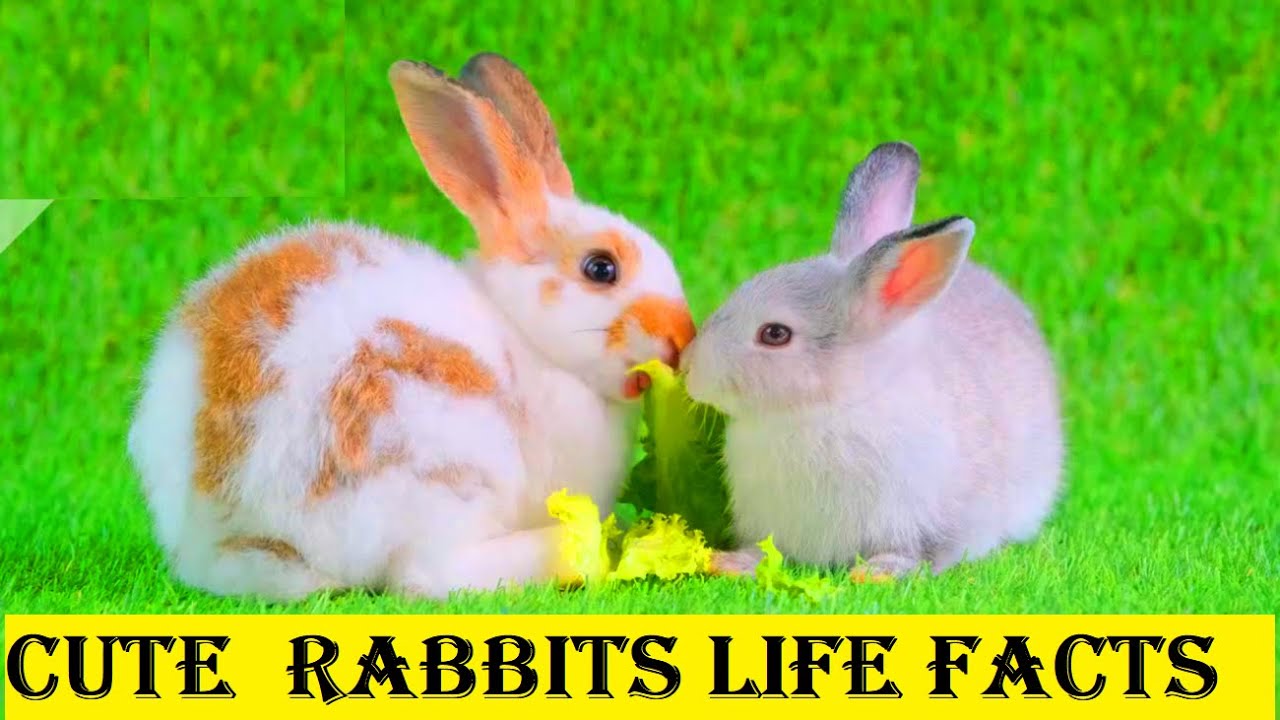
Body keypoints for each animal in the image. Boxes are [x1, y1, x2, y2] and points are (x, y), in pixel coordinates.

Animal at [126, 53, 695, 601]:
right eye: (601, 268)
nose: (681, 338)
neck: (529, 340)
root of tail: (229, 517)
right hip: (448, 459)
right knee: (426, 577)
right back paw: (576, 547)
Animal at [680, 141, 1063, 581]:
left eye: (775, 334)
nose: (687, 367)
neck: (823, 410)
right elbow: (764, 549)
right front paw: (729, 562)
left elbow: (916, 553)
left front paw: (876, 573)